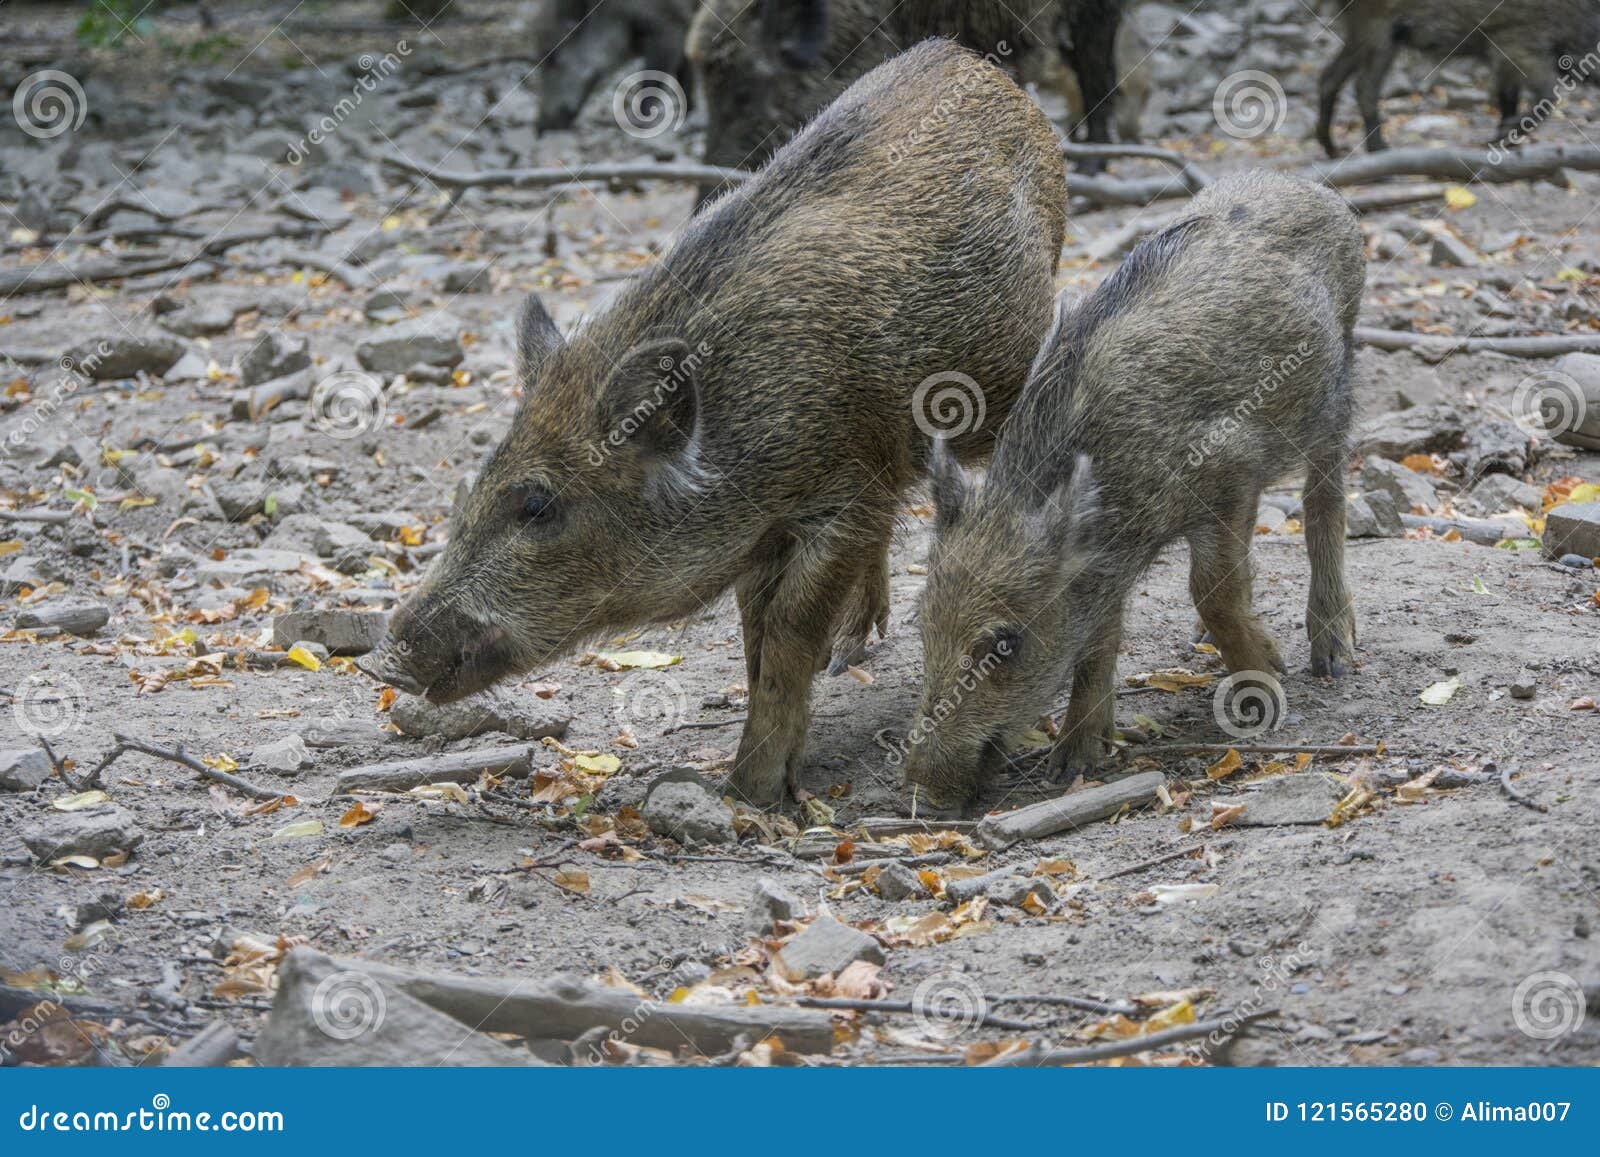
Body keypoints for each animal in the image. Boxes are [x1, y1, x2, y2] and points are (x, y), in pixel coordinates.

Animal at [359, 41, 1069, 809]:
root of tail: (974, 63)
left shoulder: (841, 494)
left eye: (538, 505)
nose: (381, 657)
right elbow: (755, 636)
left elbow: (786, 631)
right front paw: (750, 780)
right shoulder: (770, 531)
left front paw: (749, 794)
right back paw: (851, 651)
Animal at [532, 0, 697, 134]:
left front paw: (640, 123)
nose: (540, 128)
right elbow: (684, 72)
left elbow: (653, 79)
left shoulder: (669, 27)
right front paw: (688, 111)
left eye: (552, 58)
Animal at [903, 171, 1365, 815]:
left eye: (1006, 643)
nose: (921, 789)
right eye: (922, 623)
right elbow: (1099, 635)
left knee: (1326, 496)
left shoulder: (1229, 471)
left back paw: (1332, 657)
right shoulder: (1107, 558)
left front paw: (1265, 688)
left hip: (1334, 392)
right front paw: (1073, 764)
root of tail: (1314, 188)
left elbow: (1211, 590)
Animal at [1317, 0, 1600, 156]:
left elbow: (1508, 98)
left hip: (1364, 29)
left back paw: (1333, 150)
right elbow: (1548, 93)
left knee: (1329, 77)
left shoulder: (1506, 56)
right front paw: (1499, 138)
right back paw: (1381, 150)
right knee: (1364, 86)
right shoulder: (1516, 43)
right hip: (1379, 28)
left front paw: (1499, 142)